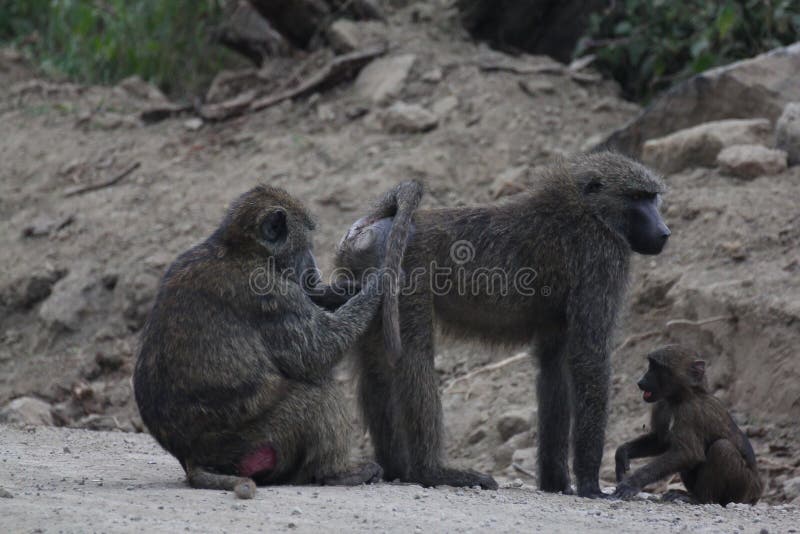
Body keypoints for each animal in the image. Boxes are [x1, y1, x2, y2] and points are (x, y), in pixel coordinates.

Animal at [133, 183, 419, 499]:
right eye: (306, 243)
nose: (313, 270)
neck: (242, 250)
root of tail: (190, 457)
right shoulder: (273, 296)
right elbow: (318, 352)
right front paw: (382, 278)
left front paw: (346, 288)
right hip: (254, 438)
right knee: (316, 393)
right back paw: (338, 473)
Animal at [333, 152, 670, 495]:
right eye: (637, 198)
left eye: (652, 197)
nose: (664, 232)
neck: (588, 209)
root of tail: (373, 226)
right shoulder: (602, 257)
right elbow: (589, 357)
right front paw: (590, 484)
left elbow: (554, 370)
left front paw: (556, 483)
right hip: (404, 278)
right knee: (413, 358)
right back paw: (432, 473)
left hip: (367, 280)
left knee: (376, 371)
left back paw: (395, 468)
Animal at [613, 345, 762, 505]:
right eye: (651, 365)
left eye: (658, 368)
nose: (640, 382)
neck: (682, 396)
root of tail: (757, 493)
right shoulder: (661, 405)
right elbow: (660, 442)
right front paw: (622, 454)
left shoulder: (690, 411)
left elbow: (687, 453)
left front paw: (631, 483)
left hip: (743, 490)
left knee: (722, 448)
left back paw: (699, 498)